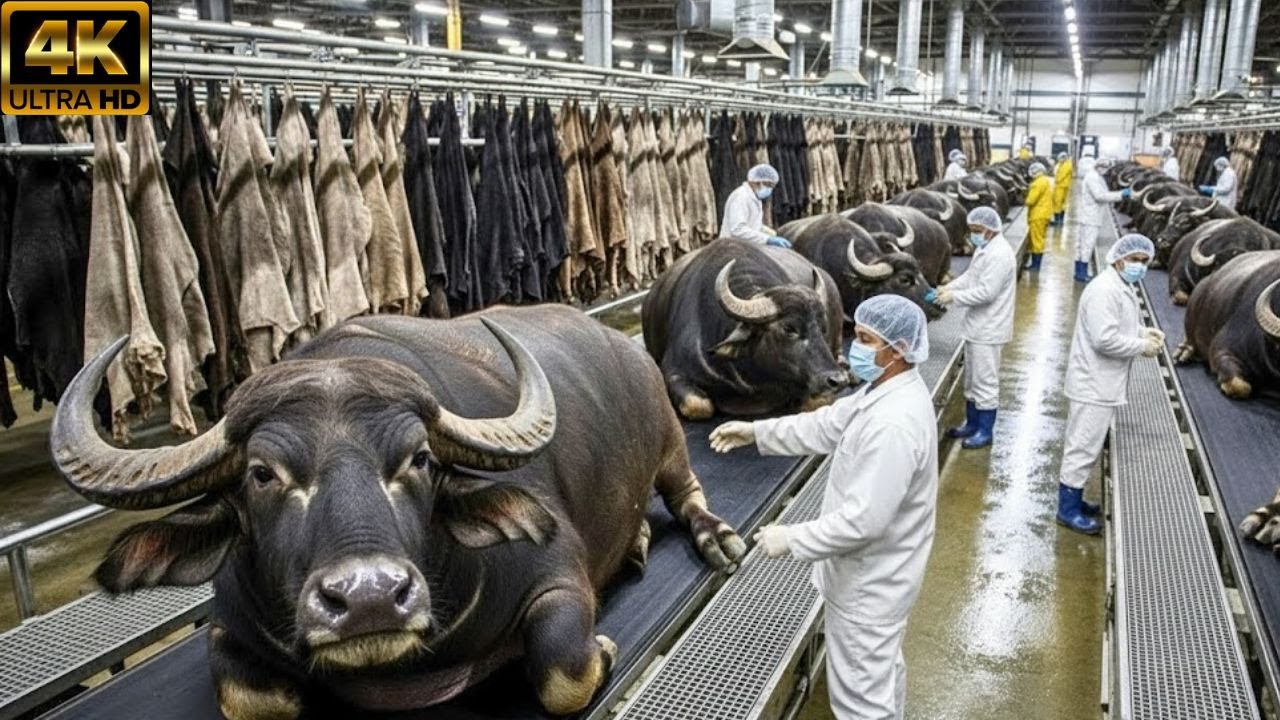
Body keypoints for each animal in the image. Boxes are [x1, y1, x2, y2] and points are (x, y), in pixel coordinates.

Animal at [51, 307, 746, 719]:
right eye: (261, 474)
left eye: (419, 459)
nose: (369, 598)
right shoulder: (229, 628)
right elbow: (252, 699)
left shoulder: (559, 580)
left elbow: (563, 672)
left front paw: (600, 646)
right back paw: (636, 542)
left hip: (669, 441)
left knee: (687, 493)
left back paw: (716, 538)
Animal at [642, 239, 847, 420]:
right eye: (789, 328)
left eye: (823, 328)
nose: (837, 380)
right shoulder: (673, 371)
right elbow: (698, 406)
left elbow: (814, 402)